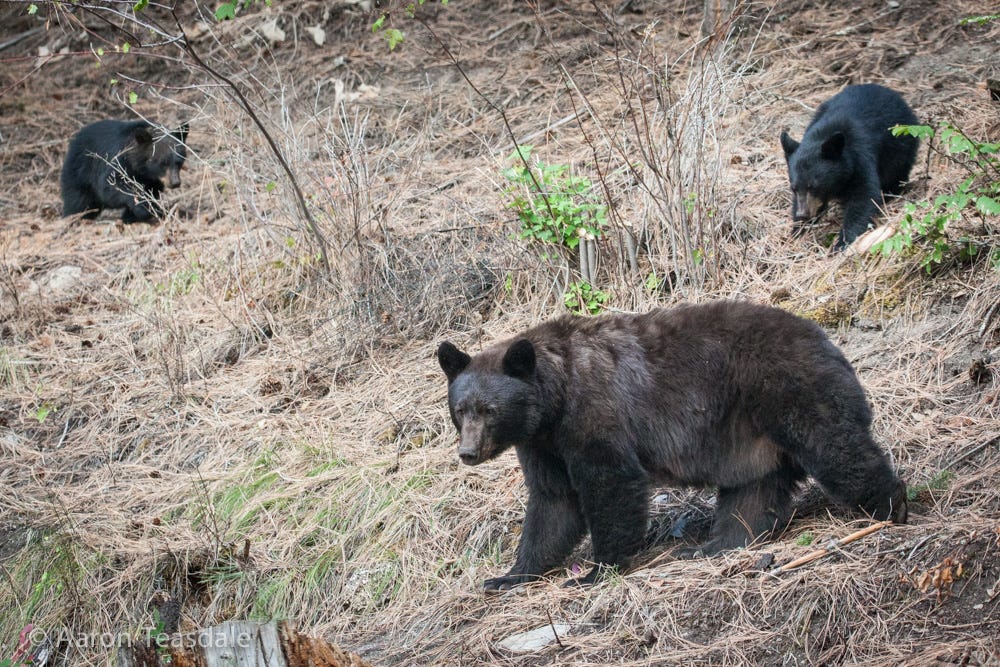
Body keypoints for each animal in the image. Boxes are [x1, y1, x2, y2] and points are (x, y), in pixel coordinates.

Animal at [437, 301, 907, 590]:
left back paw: (891, 507)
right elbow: (553, 503)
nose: (468, 453)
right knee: (751, 491)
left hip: (789, 389)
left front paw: (596, 570)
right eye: (460, 409)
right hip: (749, 436)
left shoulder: (594, 415)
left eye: (489, 409)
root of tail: (825, 338)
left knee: (835, 447)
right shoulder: (543, 444)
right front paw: (509, 575)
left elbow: (611, 484)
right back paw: (712, 545)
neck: (556, 398)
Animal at [780, 83, 919, 249]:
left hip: (903, 143)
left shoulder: (860, 158)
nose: (803, 214)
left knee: (898, 172)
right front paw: (797, 231)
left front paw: (841, 243)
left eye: (813, 186)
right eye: (793, 187)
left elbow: (864, 197)